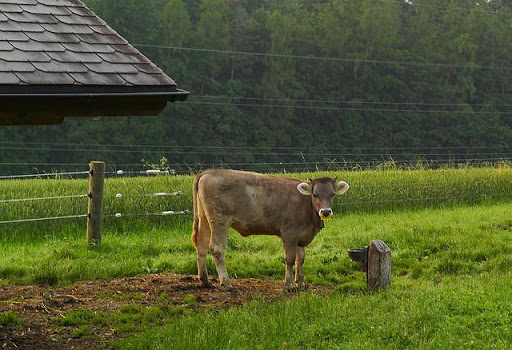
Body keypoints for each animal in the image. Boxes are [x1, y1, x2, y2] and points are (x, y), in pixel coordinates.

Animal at [190, 169, 350, 290]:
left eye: (332, 194)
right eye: (315, 194)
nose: (326, 212)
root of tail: (209, 171)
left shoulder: (301, 235)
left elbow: (301, 259)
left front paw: (301, 283)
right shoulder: (290, 234)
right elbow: (290, 259)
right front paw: (289, 285)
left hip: (204, 218)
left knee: (201, 245)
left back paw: (205, 280)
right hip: (219, 221)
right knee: (217, 248)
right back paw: (226, 283)